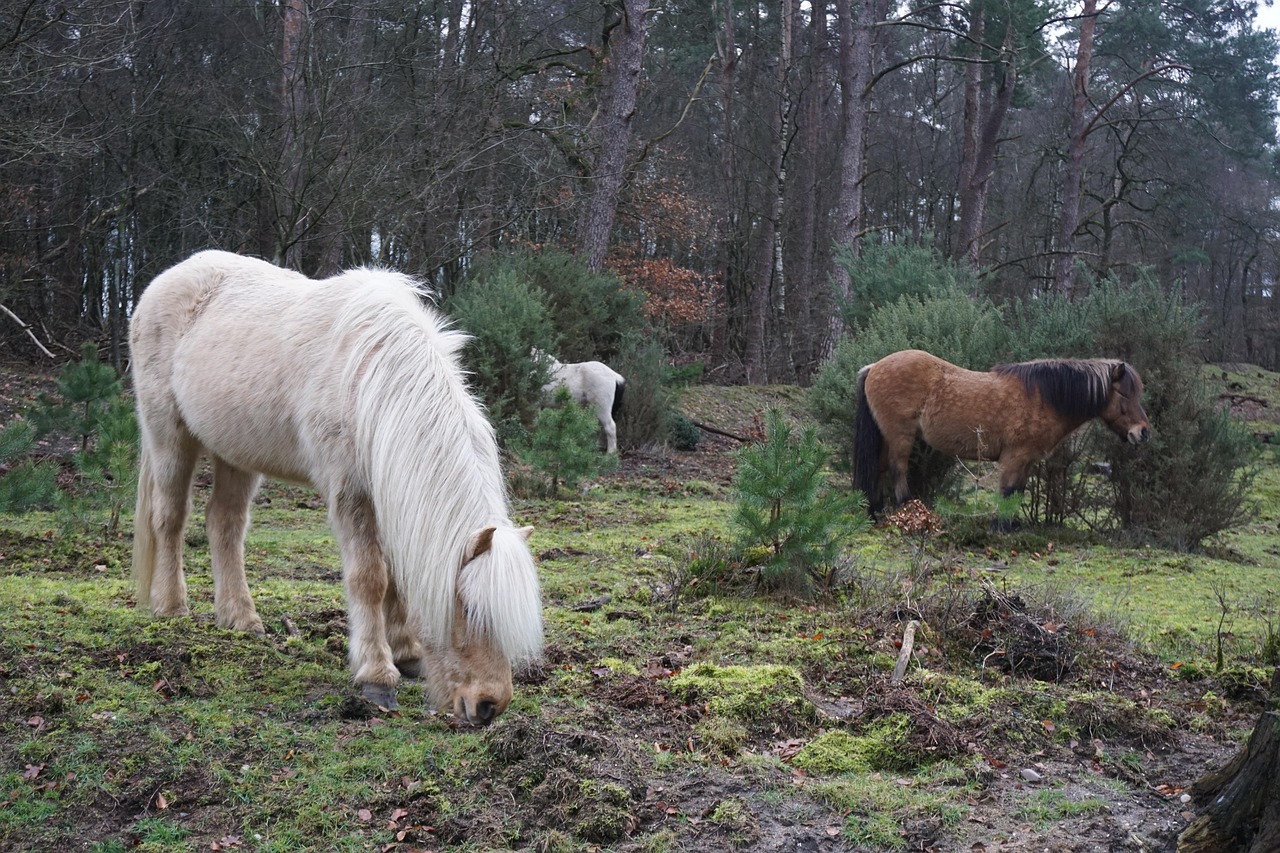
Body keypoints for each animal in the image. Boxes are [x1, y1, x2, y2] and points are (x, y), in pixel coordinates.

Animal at [129, 250, 543, 725]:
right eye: (470, 609)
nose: (490, 705)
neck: (369, 376)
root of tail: (168, 279)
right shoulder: (351, 493)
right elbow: (370, 577)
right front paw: (377, 675)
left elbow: (395, 574)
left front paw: (407, 654)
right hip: (168, 434)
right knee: (170, 518)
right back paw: (171, 607)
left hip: (235, 452)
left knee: (224, 523)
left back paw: (242, 619)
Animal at [853, 349, 1150, 517]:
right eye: (1124, 394)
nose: (1143, 432)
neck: (1044, 397)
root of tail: (874, 367)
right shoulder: (1014, 457)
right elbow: (1007, 491)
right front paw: (1002, 525)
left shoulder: (1027, 460)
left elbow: (1017, 492)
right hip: (899, 435)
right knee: (897, 469)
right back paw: (907, 507)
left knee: (878, 469)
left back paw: (875, 511)